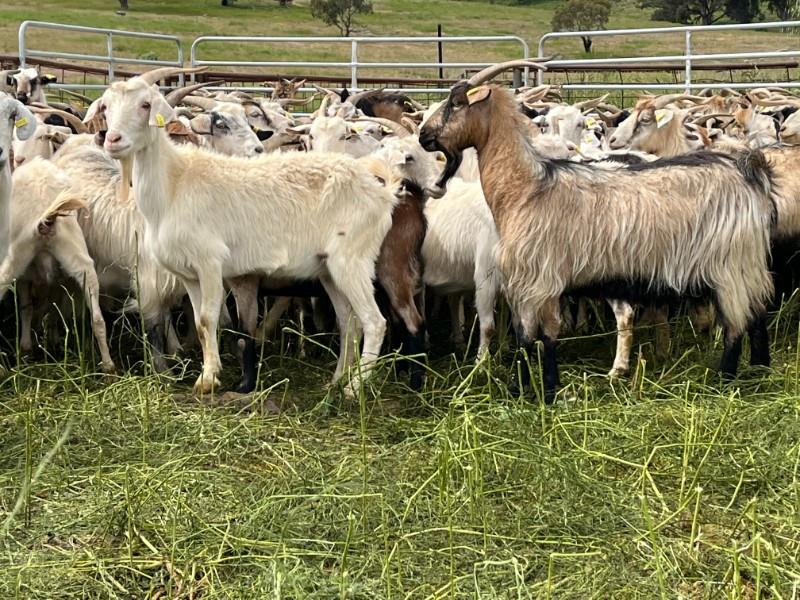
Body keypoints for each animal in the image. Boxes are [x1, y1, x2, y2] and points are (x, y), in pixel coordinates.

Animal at [419, 60, 776, 403]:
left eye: (455, 103)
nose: (424, 136)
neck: (527, 188)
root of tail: (749, 174)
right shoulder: (535, 282)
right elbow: (535, 337)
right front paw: (531, 388)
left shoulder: (538, 279)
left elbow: (537, 336)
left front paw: (537, 390)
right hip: (746, 264)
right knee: (758, 311)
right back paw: (760, 367)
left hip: (729, 265)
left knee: (736, 325)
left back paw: (724, 378)